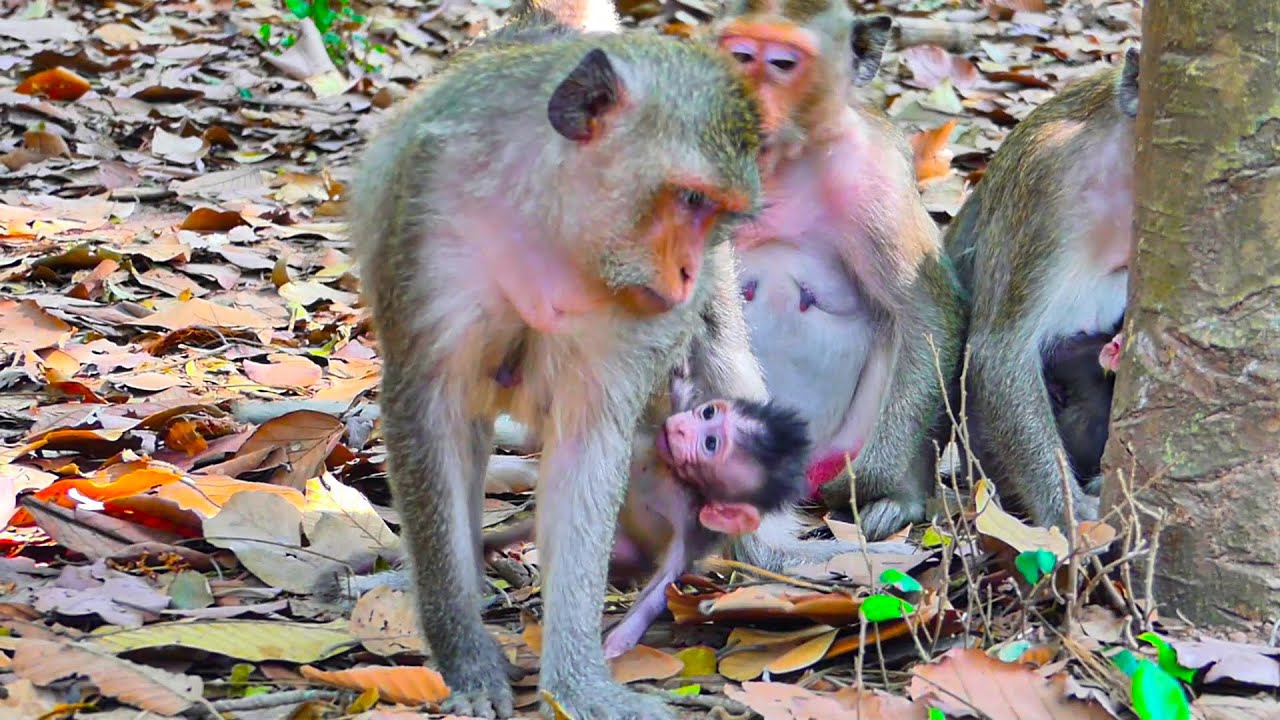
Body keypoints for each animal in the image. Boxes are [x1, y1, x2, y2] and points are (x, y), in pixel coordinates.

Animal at [348, 26, 770, 720]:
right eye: (689, 199)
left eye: (716, 216)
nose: (687, 271)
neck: (553, 229)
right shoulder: (430, 219)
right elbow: (430, 412)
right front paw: (465, 657)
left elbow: (588, 446)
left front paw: (578, 681)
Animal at [702, 4, 967, 542]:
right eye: (741, 55)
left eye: (783, 64)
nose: (748, 101)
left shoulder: (874, 175)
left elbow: (925, 312)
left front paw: (877, 484)